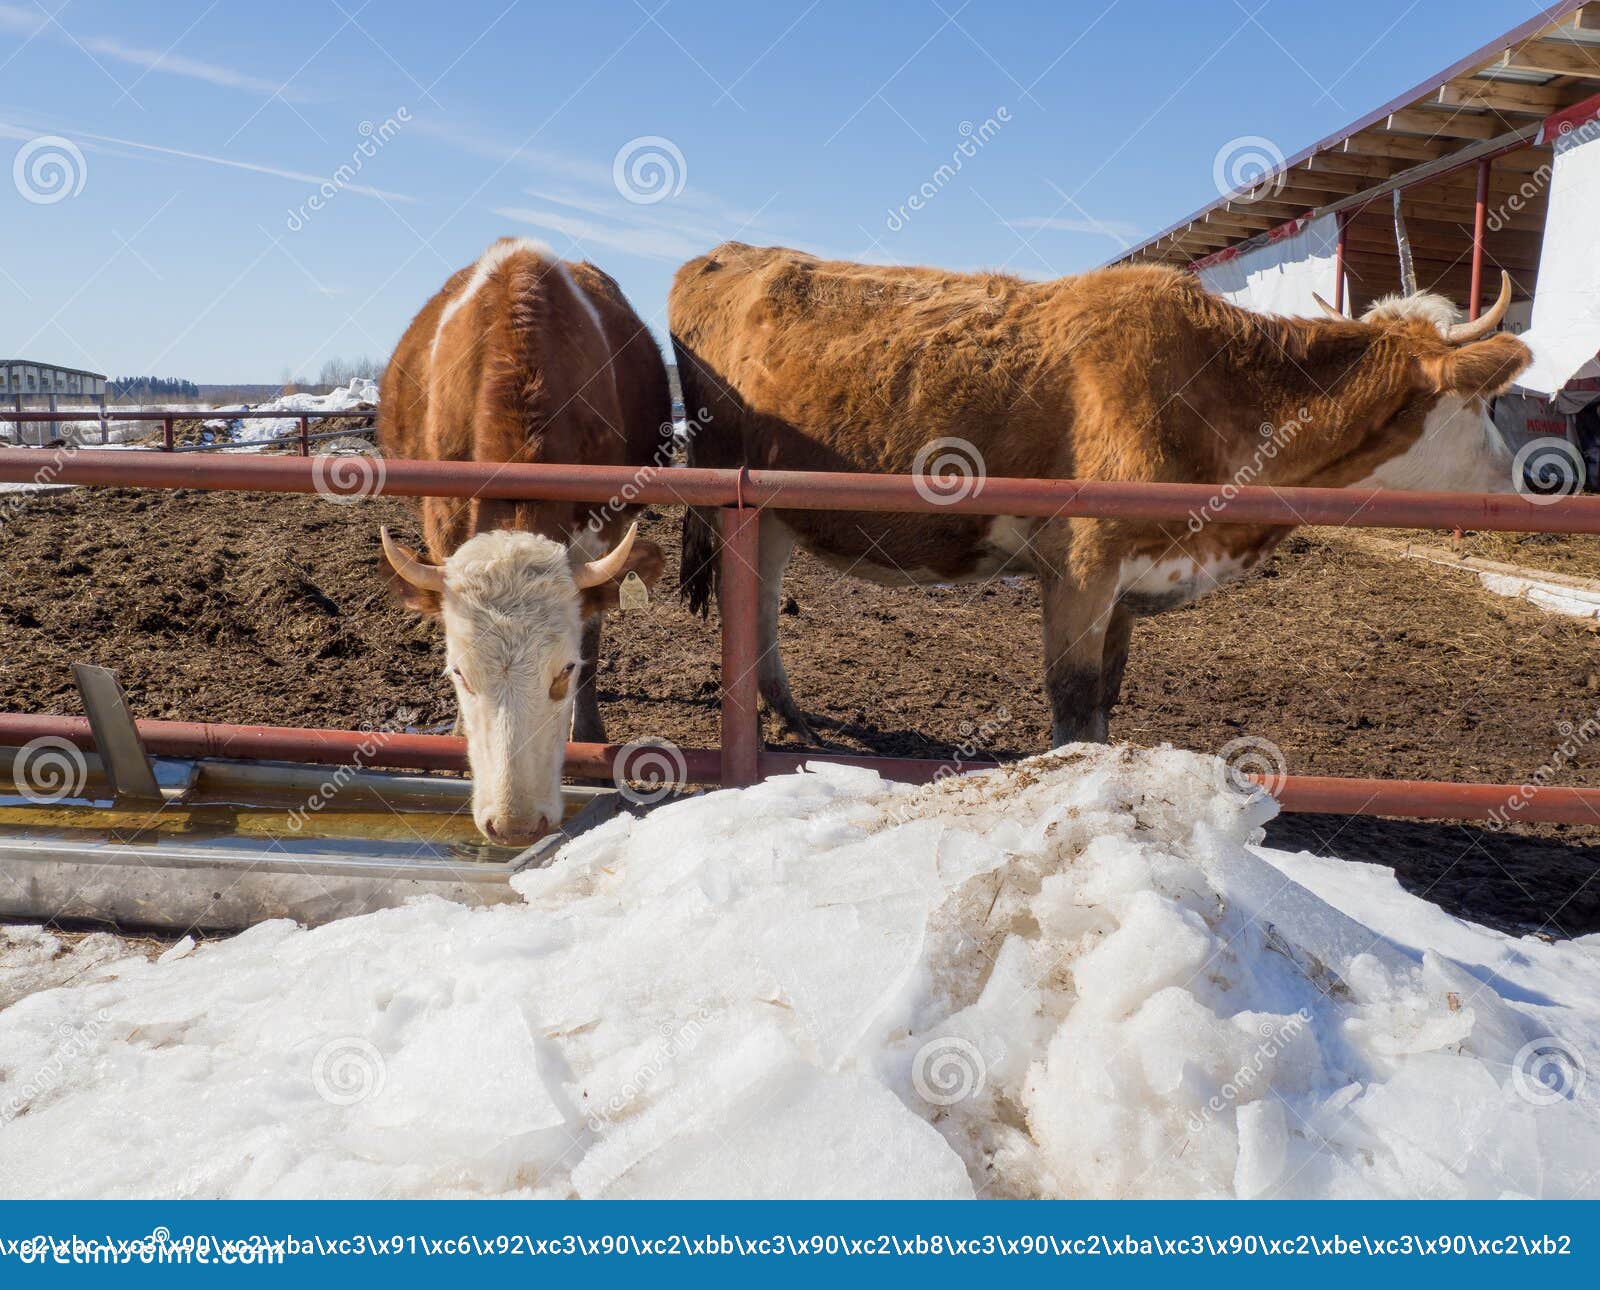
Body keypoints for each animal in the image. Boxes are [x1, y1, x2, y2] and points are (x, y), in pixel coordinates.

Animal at [377, 237, 670, 846]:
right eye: (459, 673)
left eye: (565, 671)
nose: (513, 826)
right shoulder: (441, 517)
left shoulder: (604, 526)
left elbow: (594, 633)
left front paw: (590, 735)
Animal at [670, 243, 1529, 749]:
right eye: (1485, 404)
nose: (1525, 477)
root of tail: (725, 253)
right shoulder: (1081, 562)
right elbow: (1074, 701)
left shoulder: (1130, 581)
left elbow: (1108, 697)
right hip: (729, 495)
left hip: (774, 512)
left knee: (761, 604)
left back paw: (791, 721)